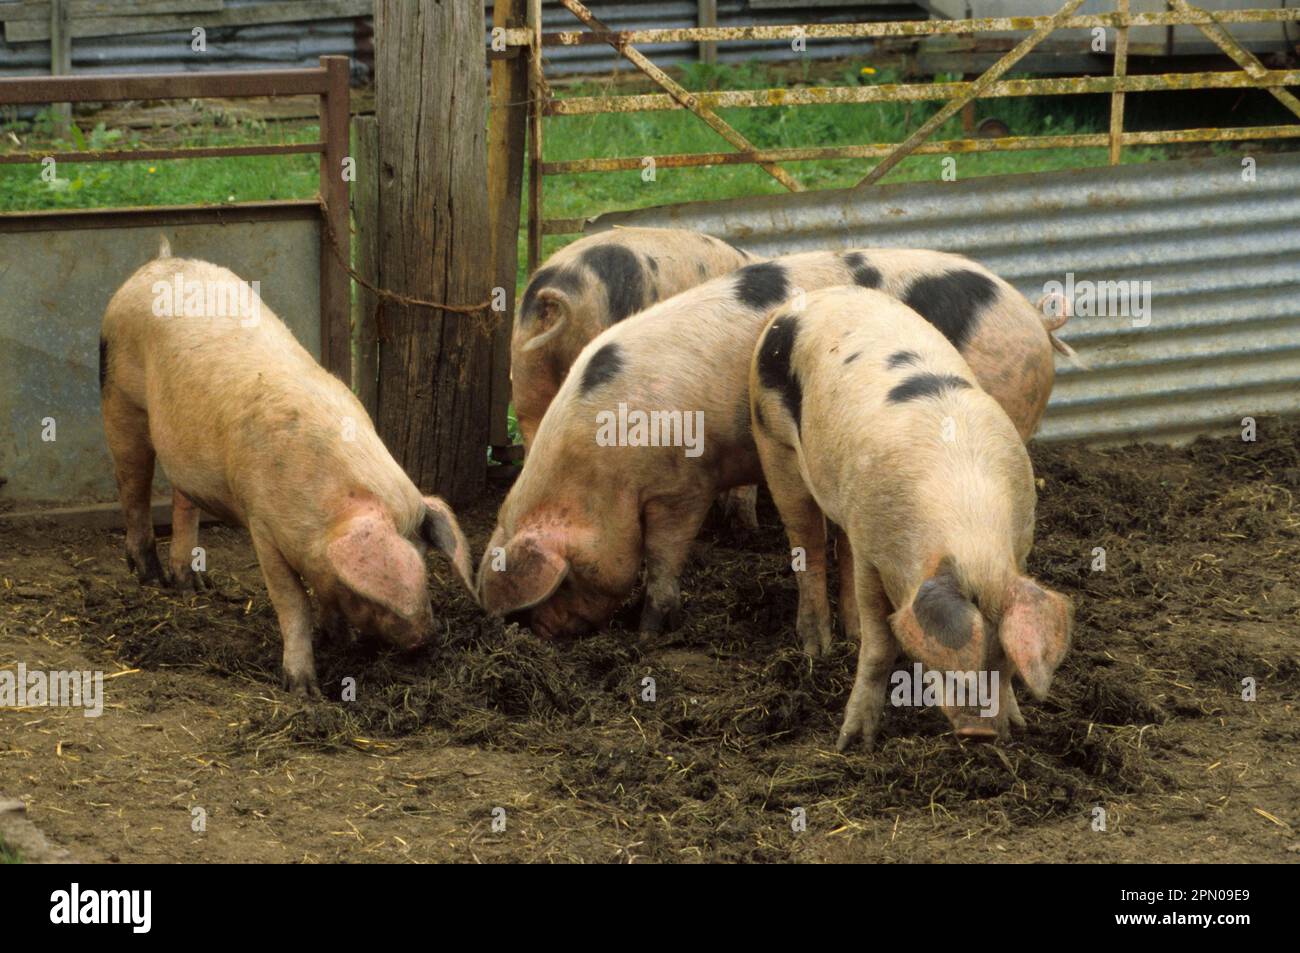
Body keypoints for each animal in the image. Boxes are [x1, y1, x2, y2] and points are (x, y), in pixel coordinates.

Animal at [99, 238, 474, 697]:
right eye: (371, 594)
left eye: (425, 560)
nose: (426, 640)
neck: (322, 514)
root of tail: (160, 262)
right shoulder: (262, 526)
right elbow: (292, 603)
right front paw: (304, 690)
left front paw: (340, 640)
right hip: (119, 396)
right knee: (132, 482)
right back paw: (149, 577)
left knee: (183, 498)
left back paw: (192, 584)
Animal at [477, 248, 1074, 642]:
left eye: (557, 589)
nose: (542, 637)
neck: (599, 466)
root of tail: (1033, 318)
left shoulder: (683, 483)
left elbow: (664, 554)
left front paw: (649, 635)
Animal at [750, 286, 1072, 748]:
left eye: (1002, 659)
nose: (978, 732)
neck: (967, 529)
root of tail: (819, 295)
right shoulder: (873, 556)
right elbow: (881, 646)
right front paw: (853, 743)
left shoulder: (1020, 547)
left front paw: (1019, 727)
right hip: (771, 438)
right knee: (806, 543)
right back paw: (818, 647)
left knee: (840, 543)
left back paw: (849, 634)